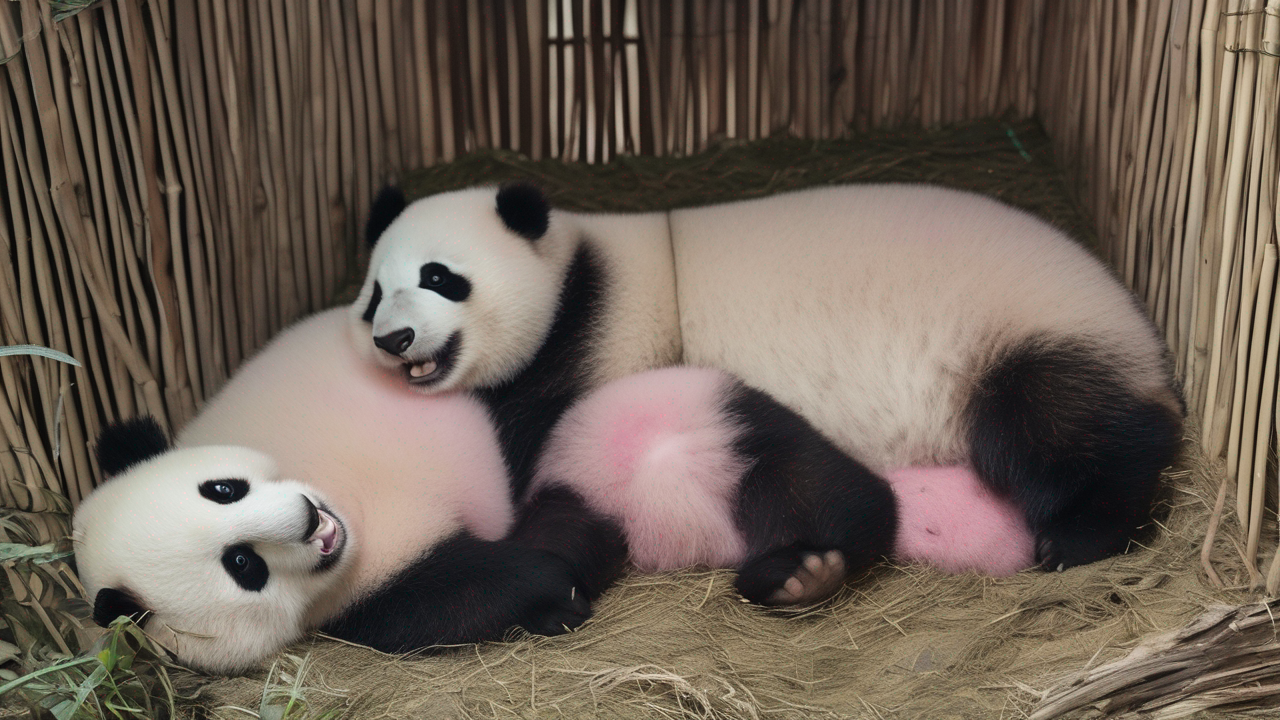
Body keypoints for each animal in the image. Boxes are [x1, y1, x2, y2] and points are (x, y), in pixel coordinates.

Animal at [350, 181, 1177, 573]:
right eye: (373, 291)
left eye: (439, 277)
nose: (395, 339)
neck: (579, 269)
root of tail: (1146, 340)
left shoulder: (589, 345)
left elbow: (528, 442)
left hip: (1014, 333)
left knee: (1057, 426)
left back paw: (1079, 529)